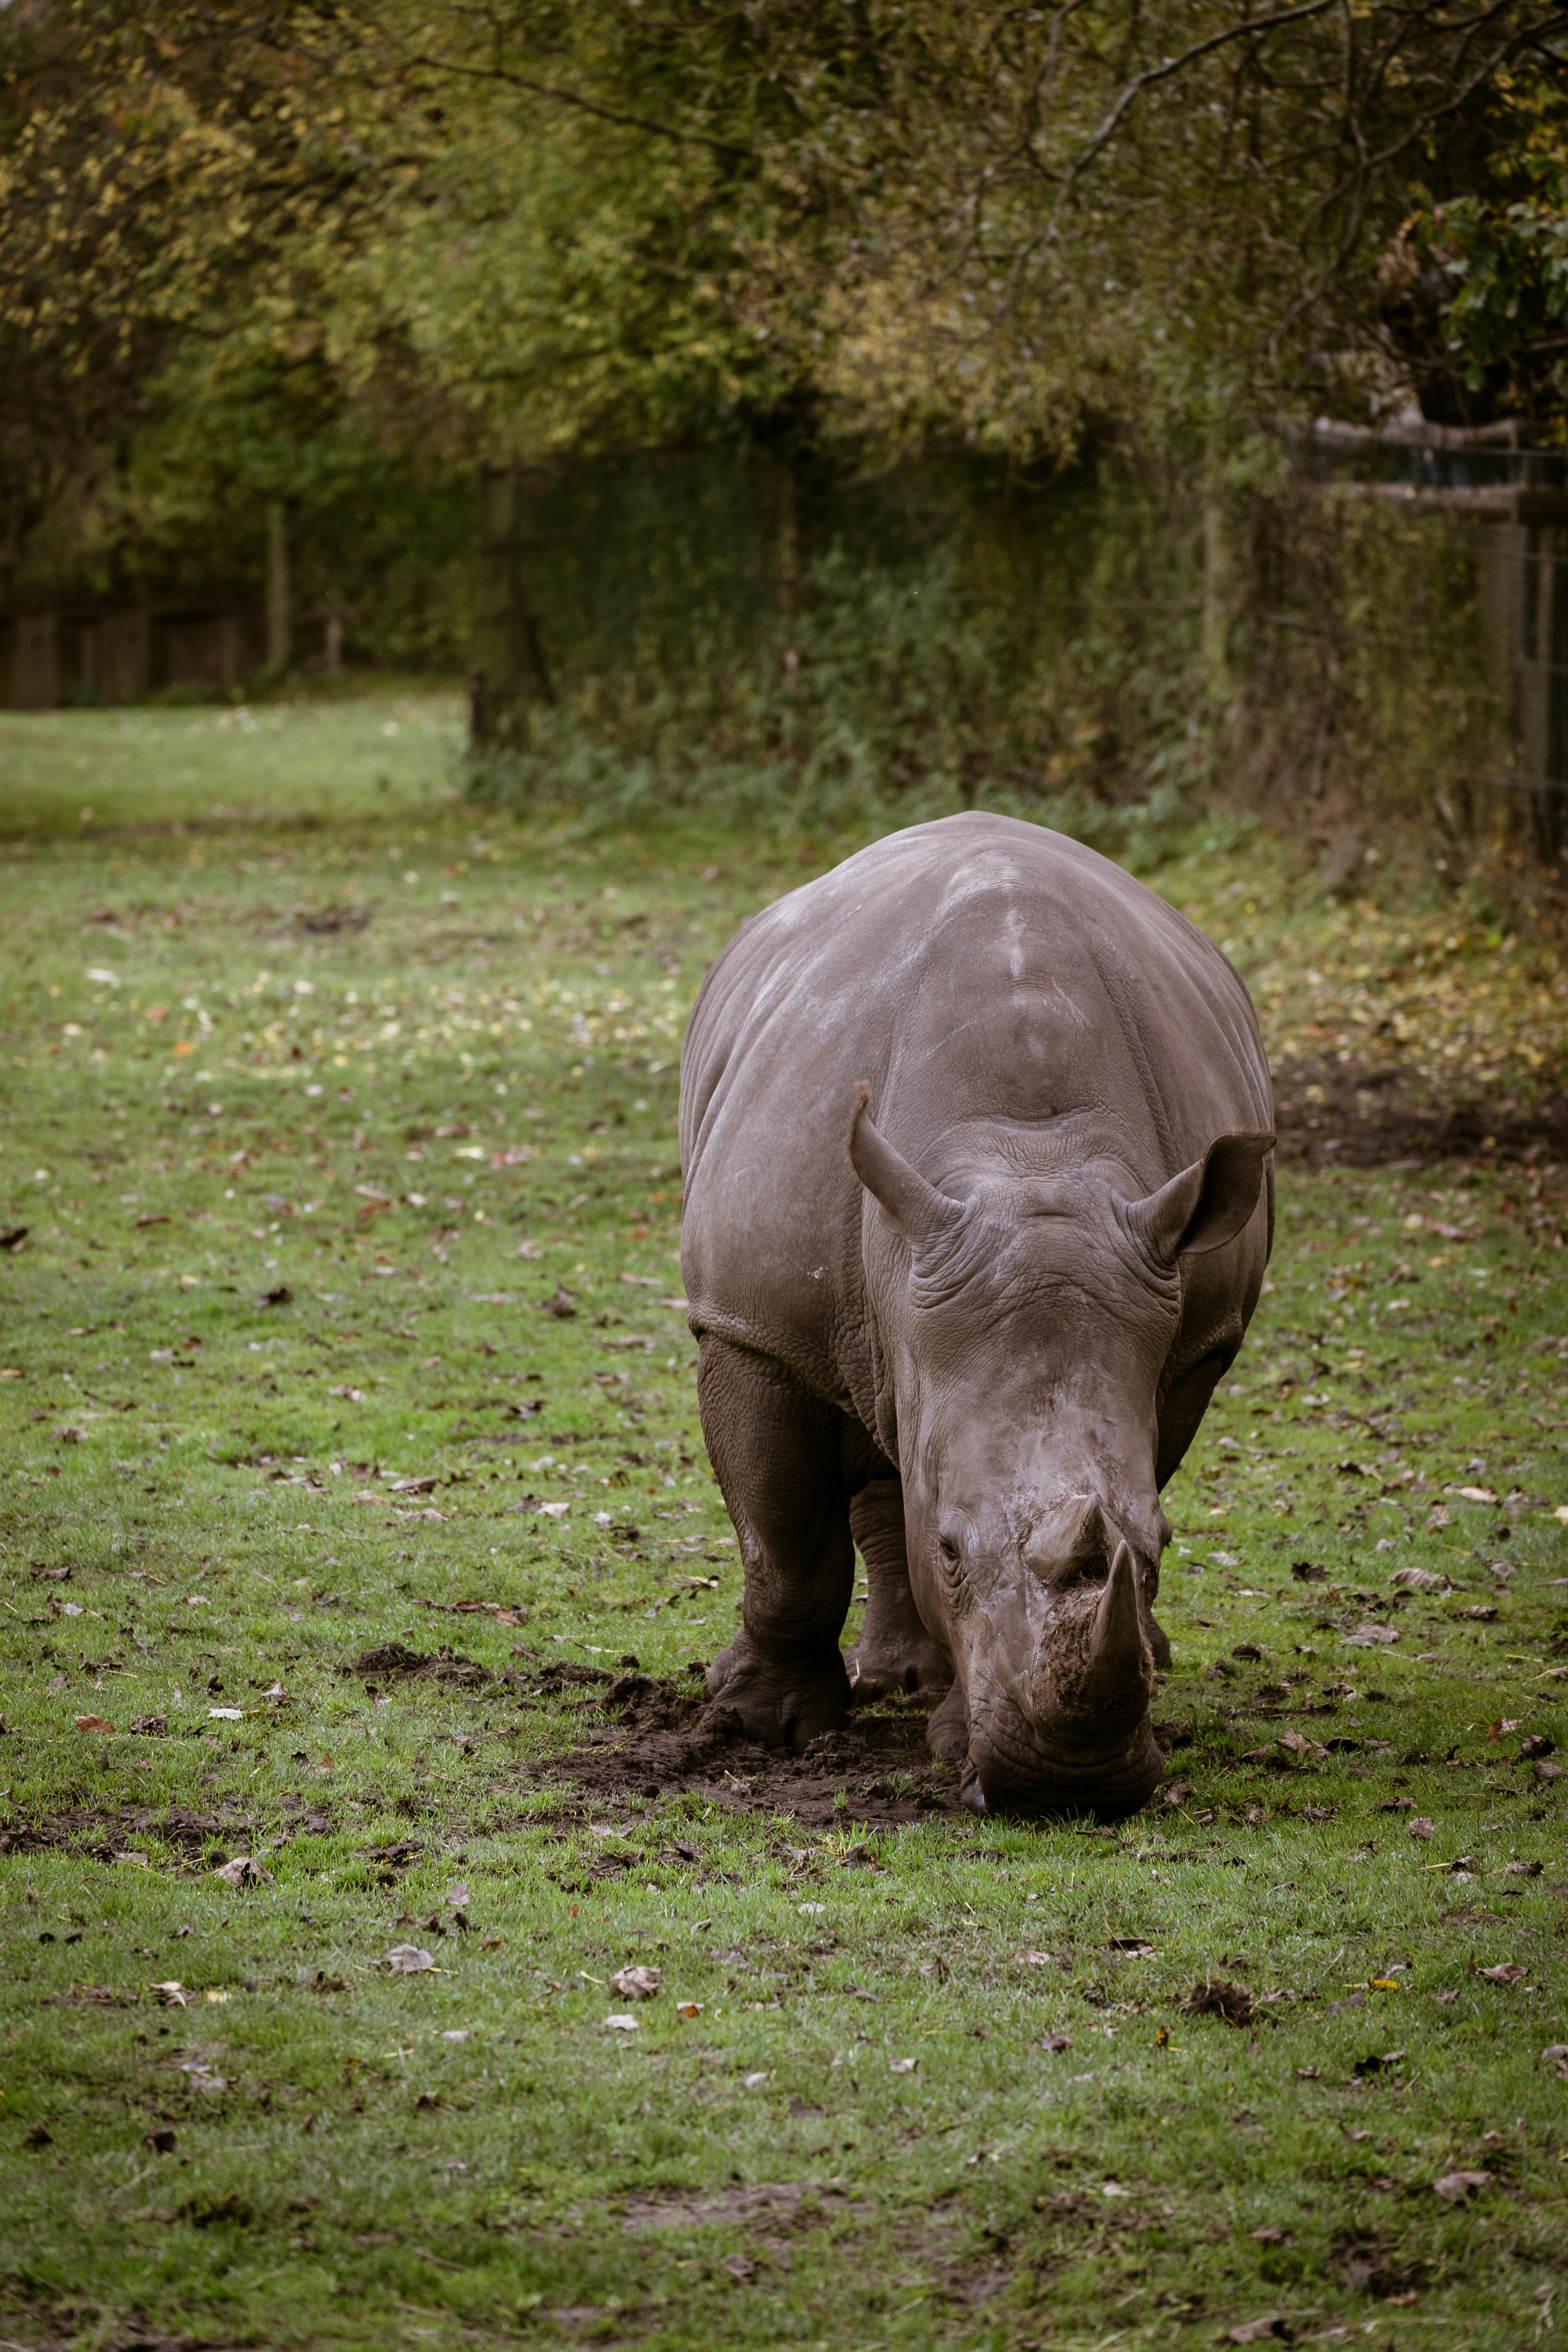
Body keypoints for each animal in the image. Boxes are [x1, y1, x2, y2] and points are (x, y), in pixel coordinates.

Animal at [678, 814, 1274, 1819]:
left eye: (1161, 1546)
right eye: (950, 1550)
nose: (1069, 1786)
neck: (1031, 1157)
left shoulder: (1193, 1336)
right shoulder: (757, 1327)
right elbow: (784, 1541)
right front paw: (762, 1725)